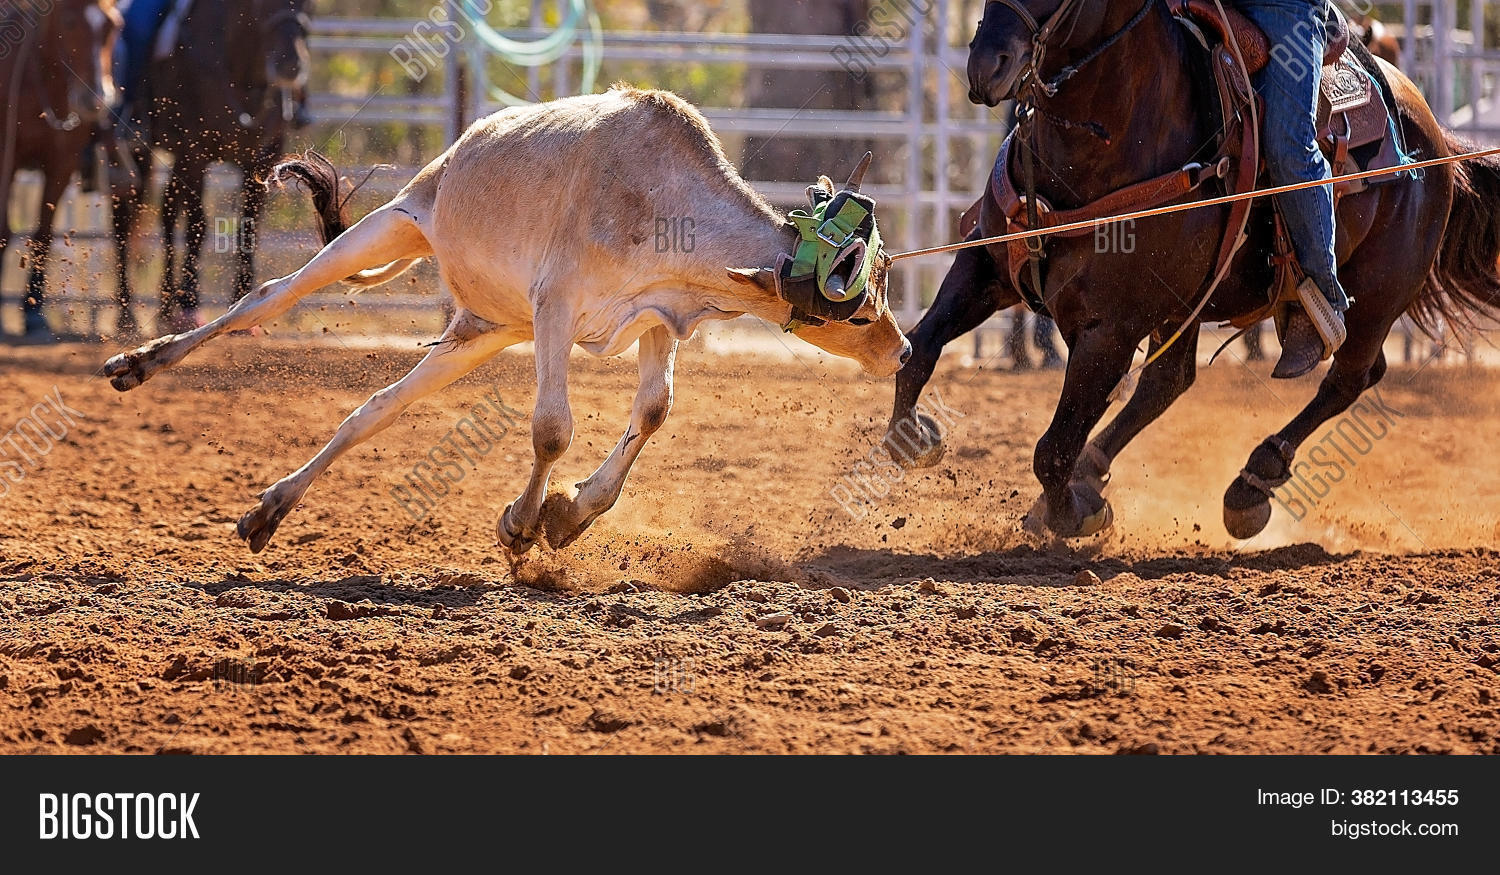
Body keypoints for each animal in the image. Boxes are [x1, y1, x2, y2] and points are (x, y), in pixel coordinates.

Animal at [100, 86, 910, 555]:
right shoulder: (555, 306)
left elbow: (652, 411)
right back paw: (137, 363)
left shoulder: (654, 317)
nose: (901, 351)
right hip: (397, 225)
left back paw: (269, 511)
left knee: (375, 408)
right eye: (858, 307)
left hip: (482, 330)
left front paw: (571, 514)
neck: (662, 198)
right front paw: (524, 523)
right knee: (267, 296)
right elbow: (552, 428)